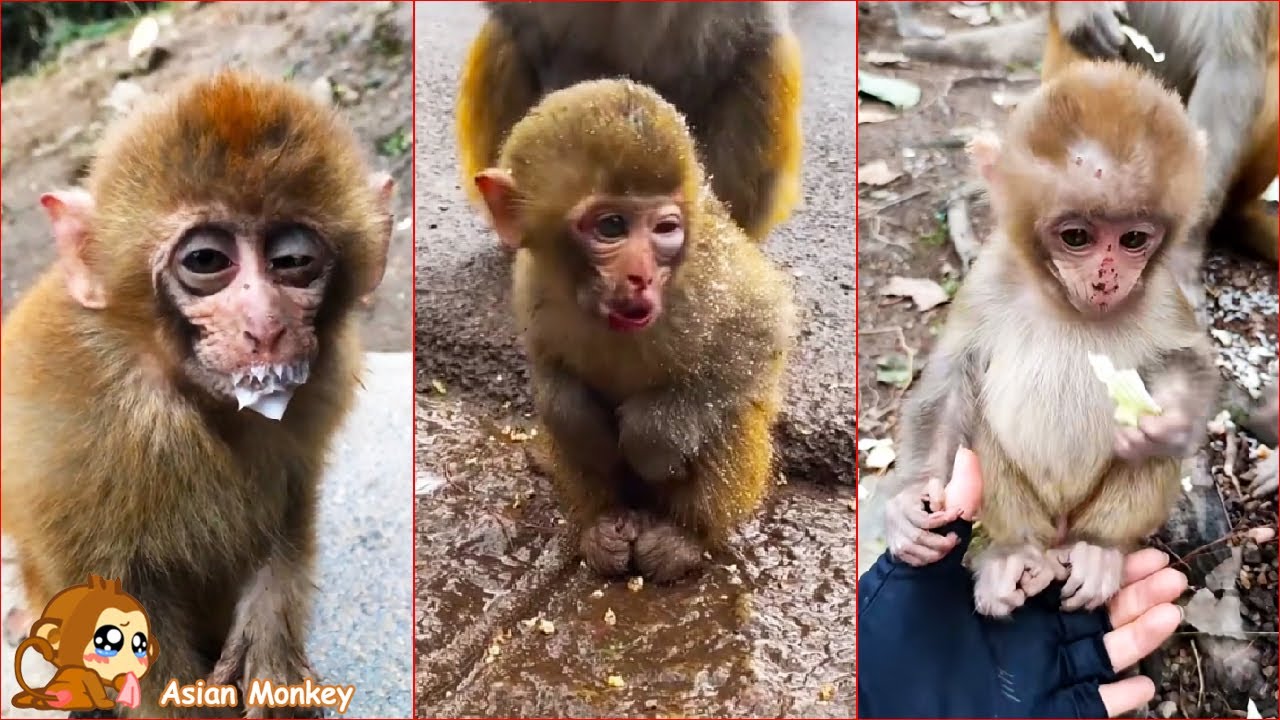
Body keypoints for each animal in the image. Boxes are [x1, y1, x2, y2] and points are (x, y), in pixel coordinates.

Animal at [472, 78, 796, 584]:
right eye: (611, 226)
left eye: (665, 228)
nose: (641, 276)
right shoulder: (531, 280)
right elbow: (550, 370)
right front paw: (574, 419)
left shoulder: (706, 275)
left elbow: (761, 331)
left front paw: (654, 437)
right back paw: (603, 525)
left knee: (732, 414)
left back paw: (685, 538)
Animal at [880, 60, 1219, 617]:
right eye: (1077, 237)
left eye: (1133, 239)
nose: (1106, 280)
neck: (1067, 306)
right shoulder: (989, 278)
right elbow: (949, 383)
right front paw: (909, 502)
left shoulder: (1162, 295)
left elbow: (1187, 361)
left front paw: (1167, 421)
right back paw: (1016, 552)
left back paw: (1099, 549)